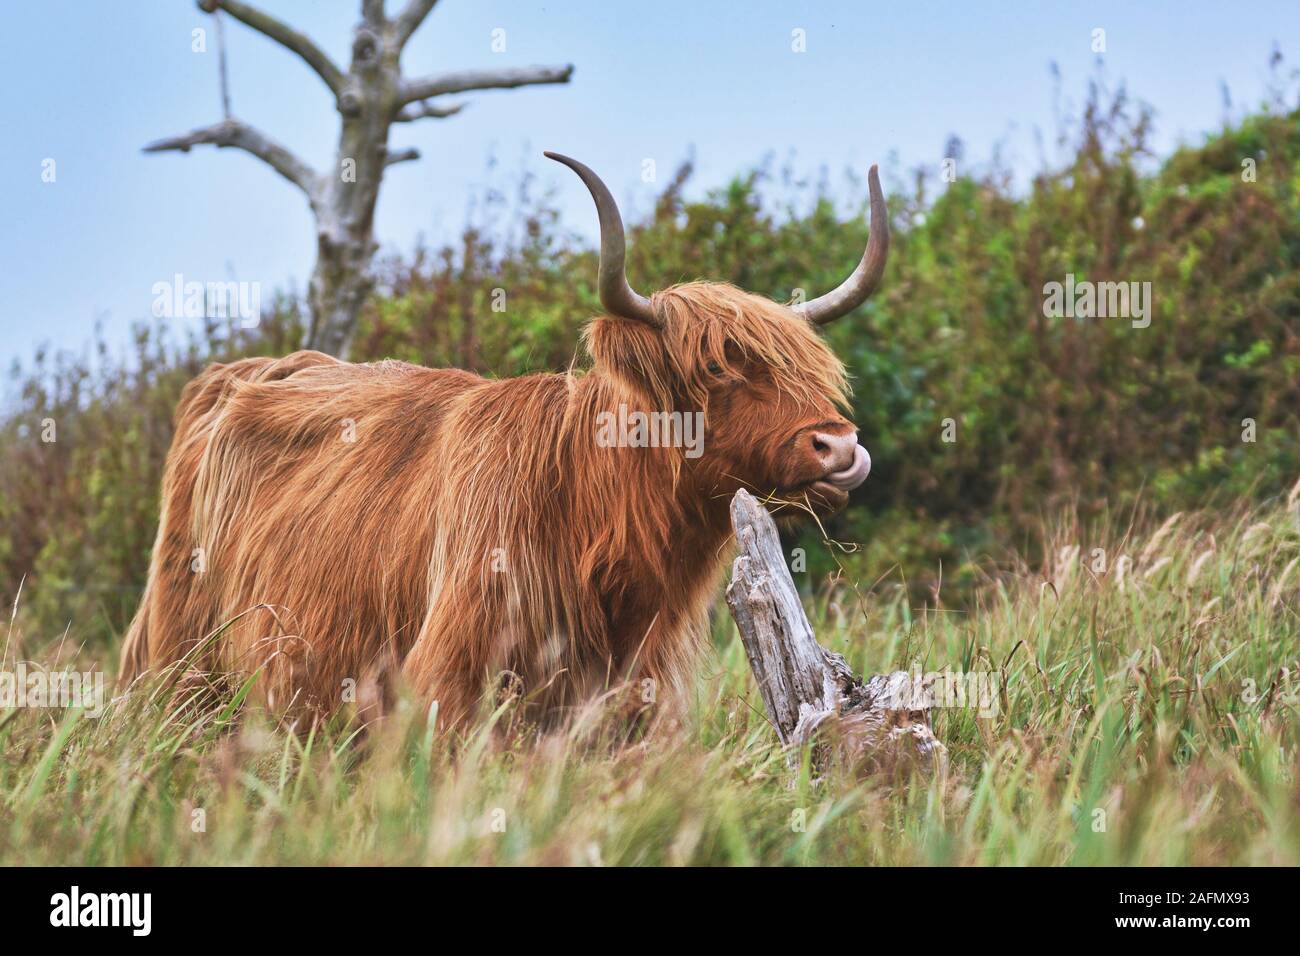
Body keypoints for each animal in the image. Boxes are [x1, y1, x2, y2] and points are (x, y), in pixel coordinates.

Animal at [118, 151, 889, 730]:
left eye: (813, 369)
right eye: (718, 370)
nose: (839, 448)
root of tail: (244, 371)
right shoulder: (452, 680)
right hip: (183, 666)